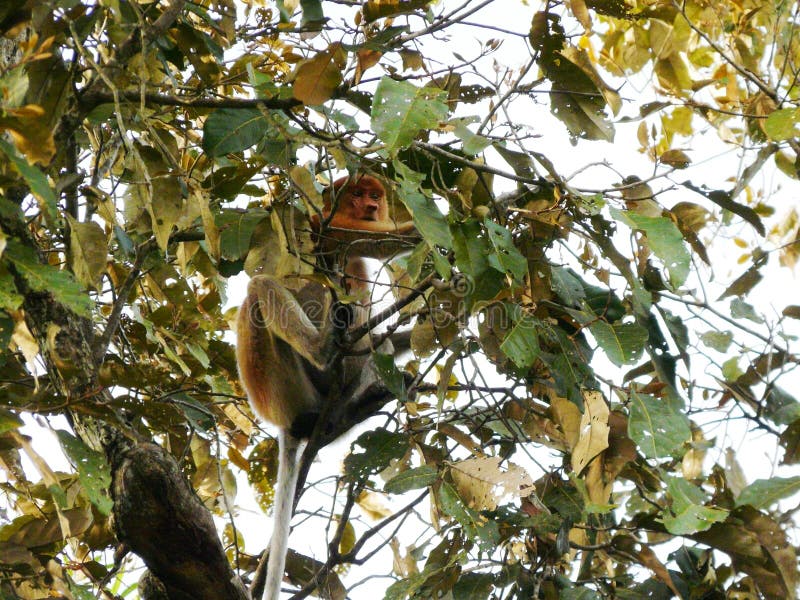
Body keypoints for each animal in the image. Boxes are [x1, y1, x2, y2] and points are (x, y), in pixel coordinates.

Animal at [236, 173, 415, 599]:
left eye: (375, 195)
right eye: (358, 194)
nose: (372, 206)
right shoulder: (323, 224)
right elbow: (369, 239)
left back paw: (362, 402)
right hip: (282, 385)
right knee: (260, 289)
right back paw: (324, 351)